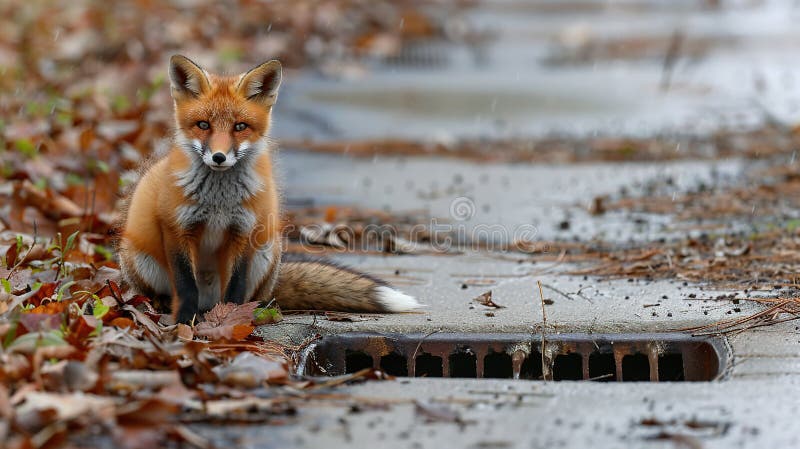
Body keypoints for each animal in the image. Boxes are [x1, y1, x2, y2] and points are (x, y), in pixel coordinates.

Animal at [118, 55, 420, 324]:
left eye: (240, 126)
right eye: (203, 125)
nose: (218, 157)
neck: (218, 202)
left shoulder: (243, 231)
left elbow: (236, 288)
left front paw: (232, 318)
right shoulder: (178, 230)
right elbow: (186, 286)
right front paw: (185, 322)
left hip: (266, 251)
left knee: (251, 297)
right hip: (140, 256)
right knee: (165, 291)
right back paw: (162, 305)